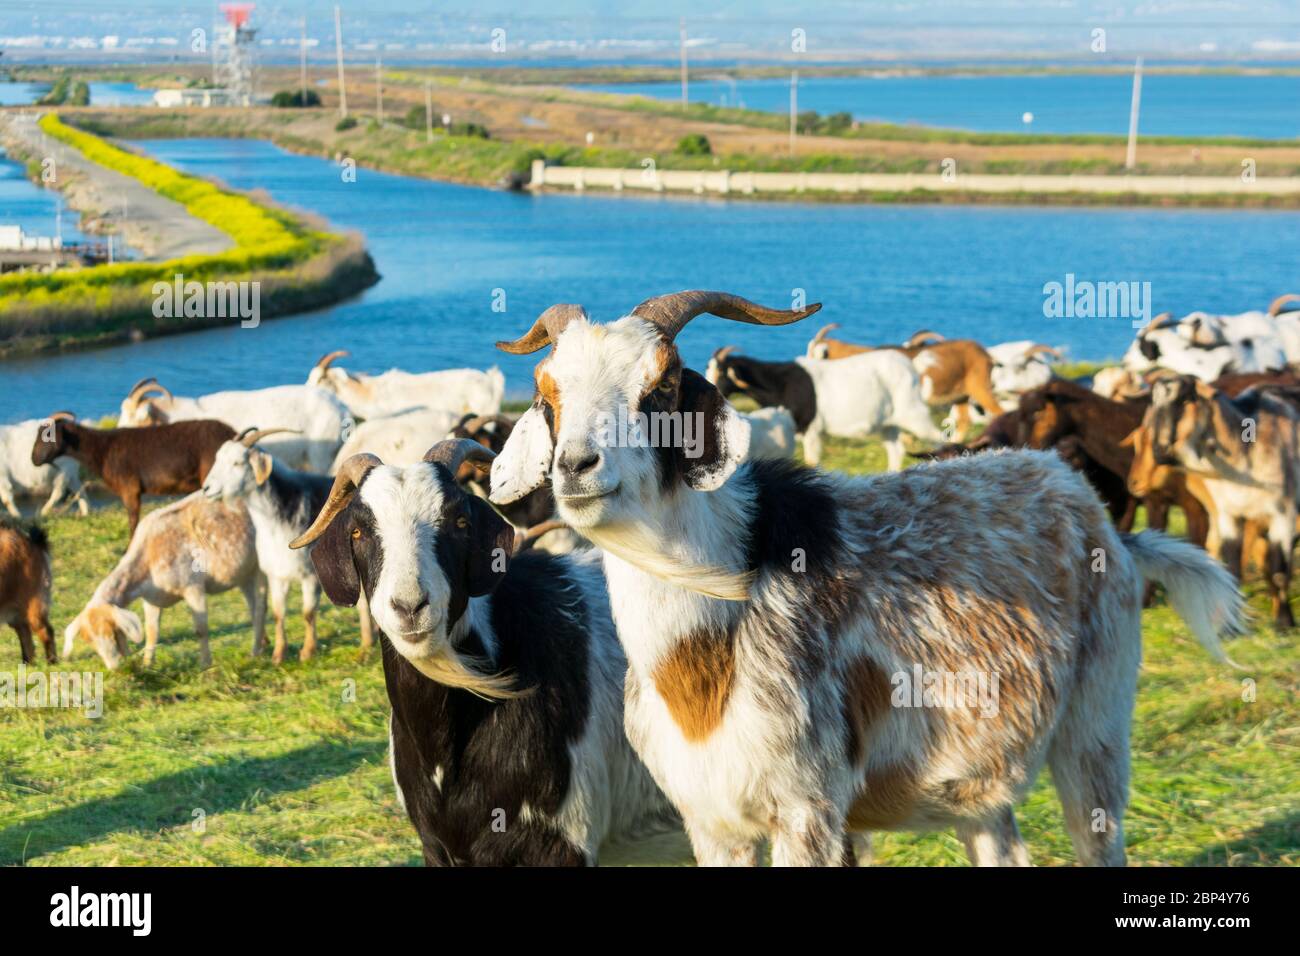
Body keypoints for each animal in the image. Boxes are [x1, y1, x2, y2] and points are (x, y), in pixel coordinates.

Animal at [0, 520, 55, 664]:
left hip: (32, 602)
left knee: (45, 630)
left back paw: (52, 662)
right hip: (15, 610)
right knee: (25, 634)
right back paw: (28, 664)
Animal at [31, 413, 235, 540]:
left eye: (48, 435)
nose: (34, 459)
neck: (103, 450)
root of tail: (233, 433)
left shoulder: (130, 489)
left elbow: (133, 522)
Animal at [63, 494, 264, 669]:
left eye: (113, 632)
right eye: (90, 642)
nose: (115, 668)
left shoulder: (193, 587)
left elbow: (201, 629)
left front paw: (205, 665)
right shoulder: (151, 599)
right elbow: (152, 633)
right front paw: (147, 665)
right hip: (245, 573)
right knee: (254, 609)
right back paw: (261, 648)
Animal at [201, 427, 374, 662]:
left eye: (237, 463)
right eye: (218, 459)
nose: (207, 488)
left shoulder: (311, 576)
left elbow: (307, 613)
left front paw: (308, 652)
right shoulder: (276, 575)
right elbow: (278, 613)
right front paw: (278, 654)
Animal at [706, 343, 943, 470]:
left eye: (721, 372)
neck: (780, 382)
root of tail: (912, 365)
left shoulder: (811, 429)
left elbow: (811, 461)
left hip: (913, 413)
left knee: (939, 438)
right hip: (888, 424)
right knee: (896, 450)